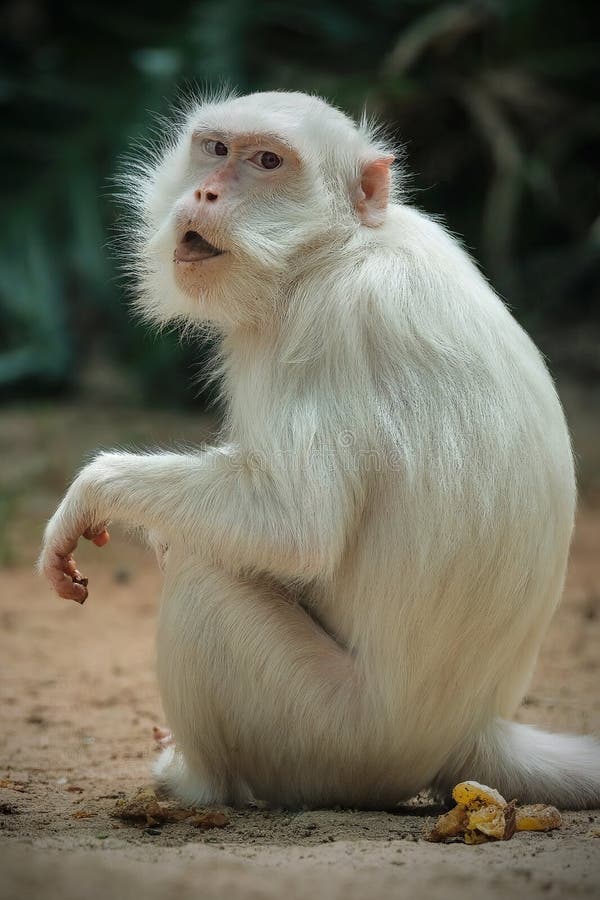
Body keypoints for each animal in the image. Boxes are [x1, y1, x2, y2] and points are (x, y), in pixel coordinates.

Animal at [39, 90, 600, 810]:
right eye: (215, 150)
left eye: (267, 162)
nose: (206, 192)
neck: (336, 247)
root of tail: (472, 732)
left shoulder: (330, 326)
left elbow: (295, 526)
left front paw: (94, 490)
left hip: (330, 740)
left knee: (203, 572)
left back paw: (197, 782)